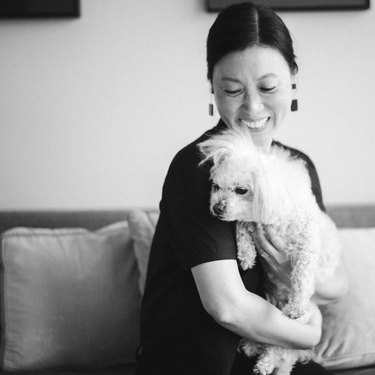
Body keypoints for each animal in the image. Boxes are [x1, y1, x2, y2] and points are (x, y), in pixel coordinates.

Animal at [200, 127, 340, 375]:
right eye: (216, 186)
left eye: (241, 190)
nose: (216, 208)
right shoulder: (252, 220)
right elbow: (242, 227)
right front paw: (246, 255)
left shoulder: (307, 246)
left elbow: (302, 276)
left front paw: (296, 305)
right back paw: (254, 348)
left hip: (303, 318)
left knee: (283, 347)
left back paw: (266, 363)